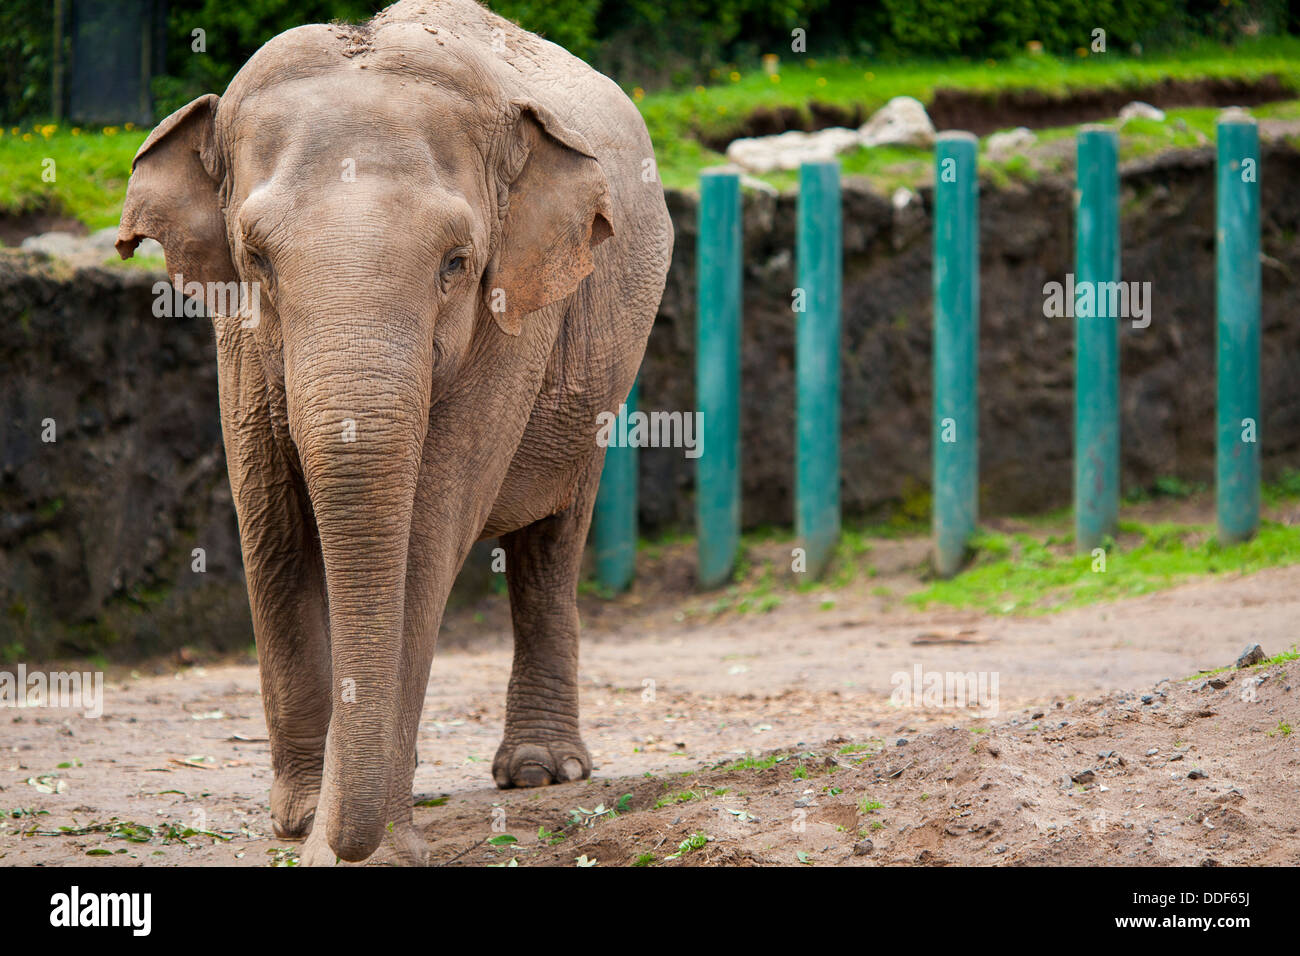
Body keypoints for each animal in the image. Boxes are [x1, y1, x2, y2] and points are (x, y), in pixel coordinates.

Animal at [115, 0, 672, 865]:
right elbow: (271, 524)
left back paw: (542, 773)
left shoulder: (510, 320)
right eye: (256, 259)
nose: (335, 835)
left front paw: (364, 846)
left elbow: (426, 535)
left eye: (456, 263)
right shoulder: (236, 336)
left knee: (555, 536)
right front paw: (303, 820)